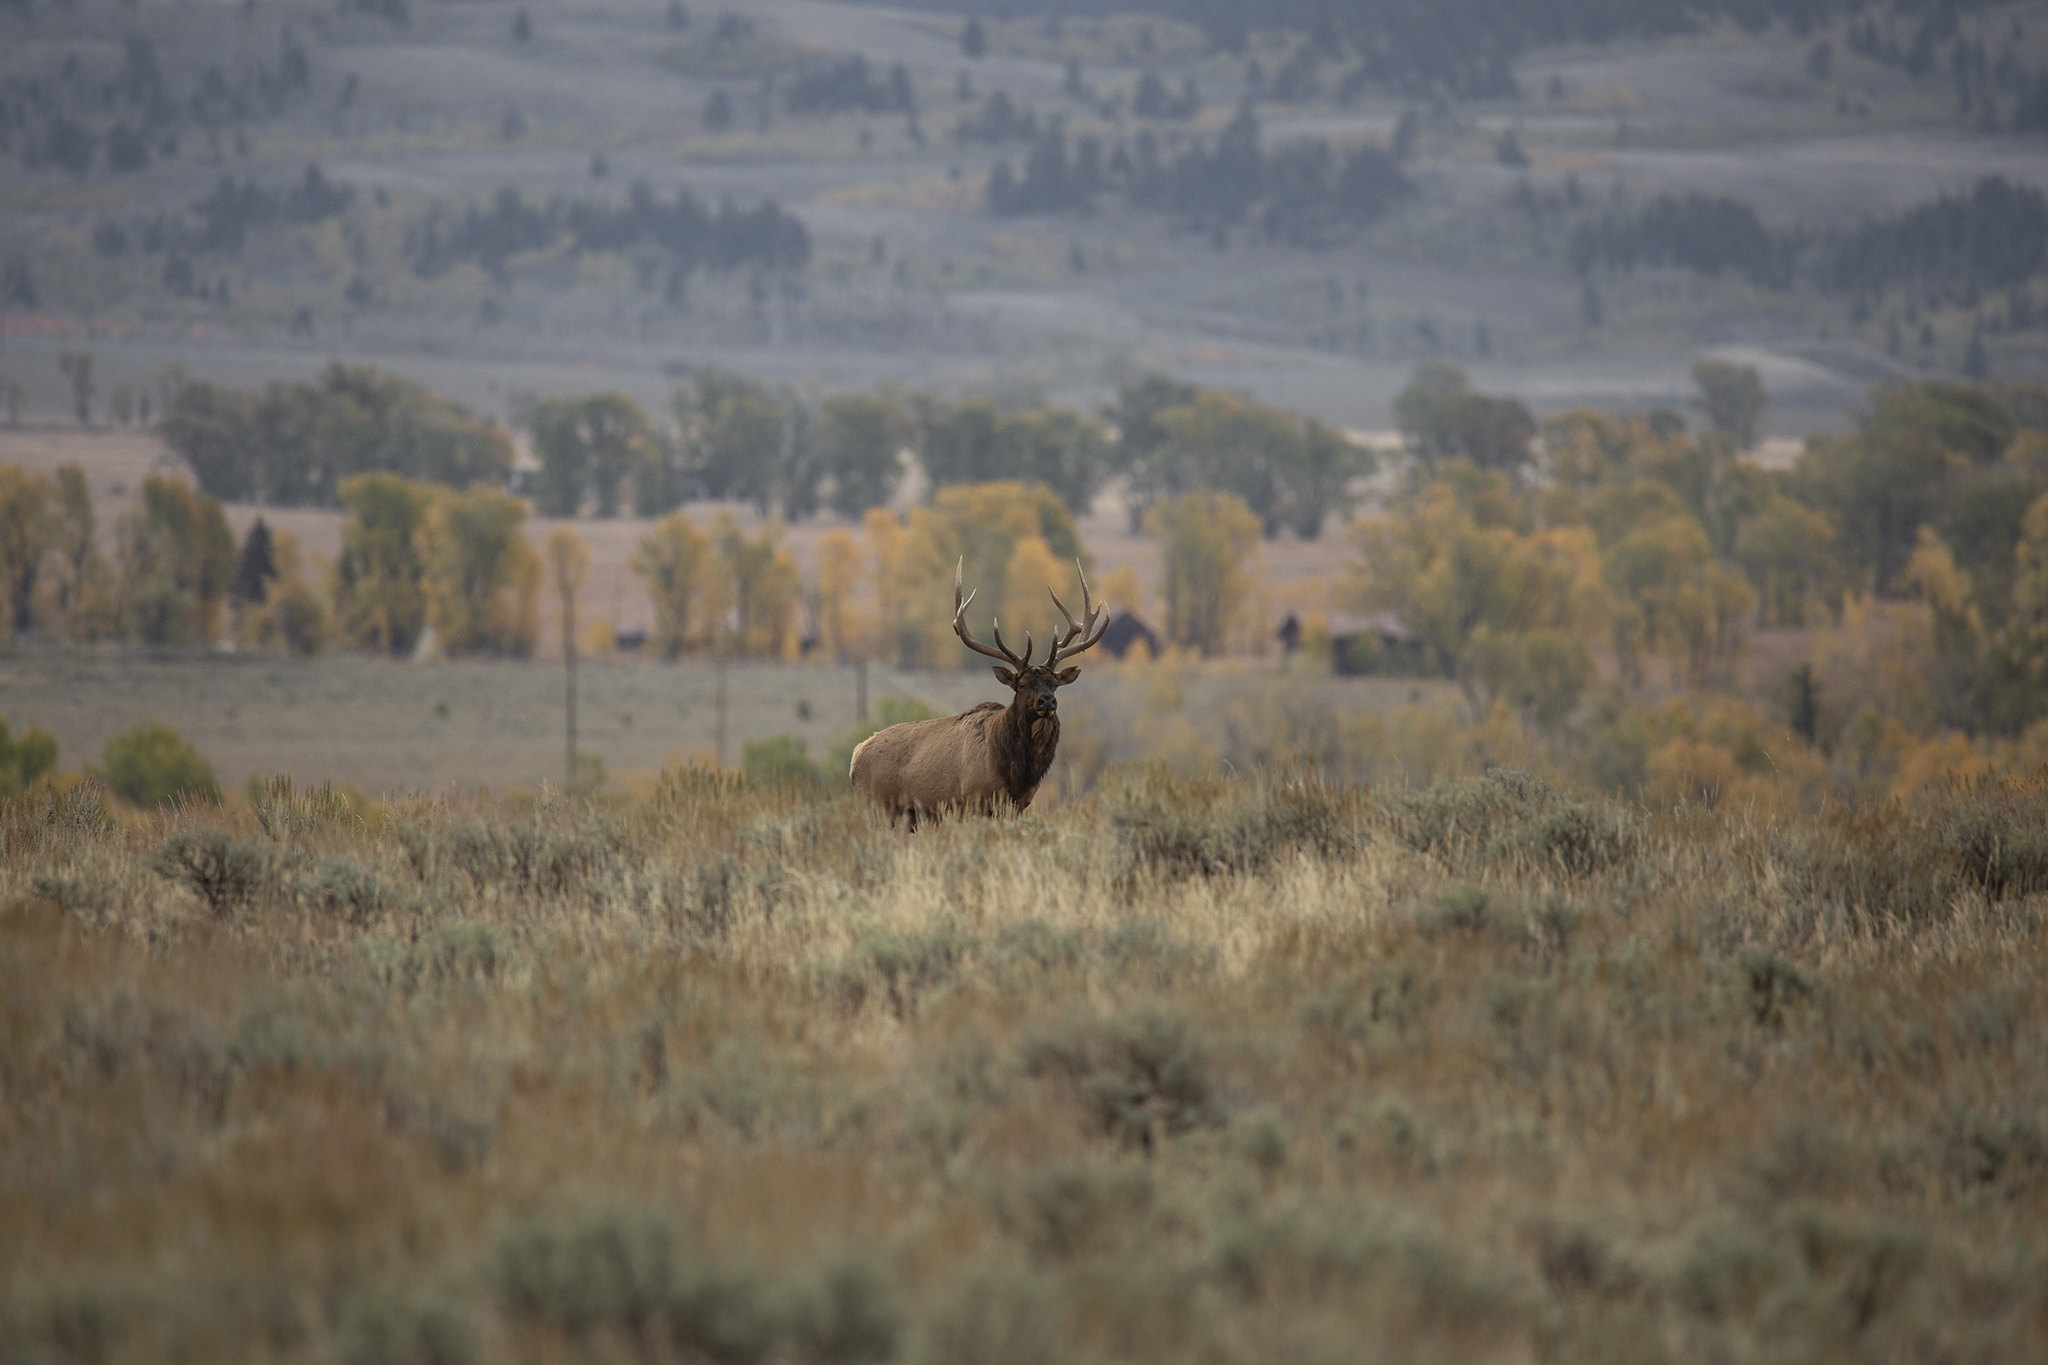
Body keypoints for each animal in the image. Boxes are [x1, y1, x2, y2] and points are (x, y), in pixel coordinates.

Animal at [850, 557, 1109, 825]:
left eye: (1054, 683)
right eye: (1022, 685)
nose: (1047, 702)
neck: (1017, 773)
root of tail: (854, 758)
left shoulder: (1019, 804)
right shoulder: (975, 799)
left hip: (907, 816)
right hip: (880, 806)